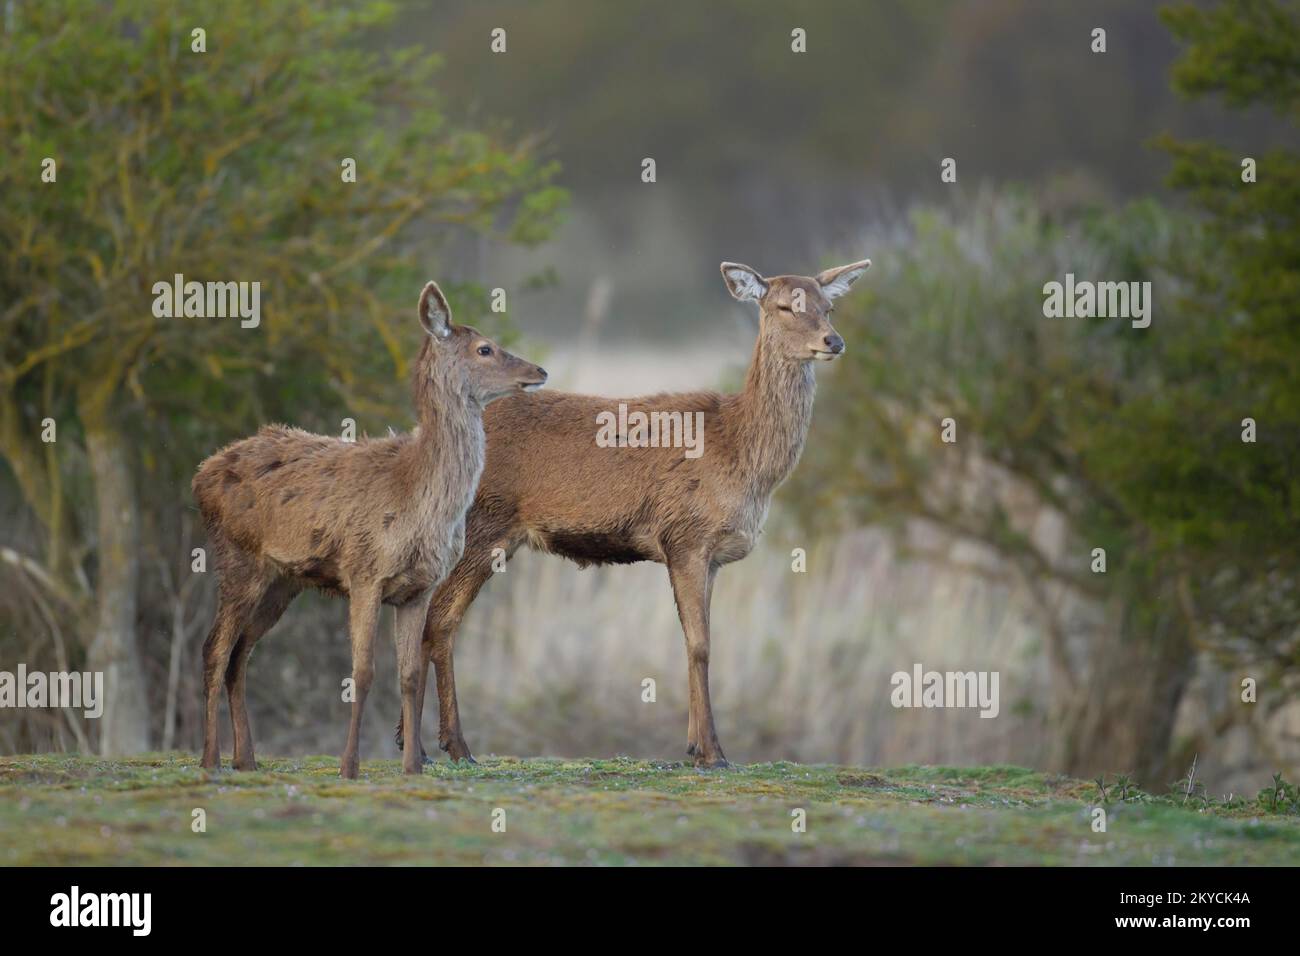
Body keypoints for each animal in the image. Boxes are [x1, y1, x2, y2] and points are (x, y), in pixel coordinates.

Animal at [193, 280, 547, 778]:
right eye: (484, 348)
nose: (539, 370)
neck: (416, 496)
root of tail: (200, 475)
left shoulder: (418, 587)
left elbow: (409, 674)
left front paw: (412, 765)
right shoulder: (363, 572)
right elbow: (361, 673)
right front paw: (349, 766)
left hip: (283, 582)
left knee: (241, 653)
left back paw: (246, 758)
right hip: (238, 559)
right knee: (215, 649)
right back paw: (210, 760)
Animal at [394, 259, 870, 768]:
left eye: (828, 307)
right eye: (783, 306)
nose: (833, 341)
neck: (744, 457)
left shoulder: (712, 557)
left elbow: (694, 640)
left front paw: (693, 744)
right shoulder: (685, 535)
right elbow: (701, 645)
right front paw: (712, 752)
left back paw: (420, 742)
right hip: (485, 526)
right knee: (439, 621)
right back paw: (449, 744)